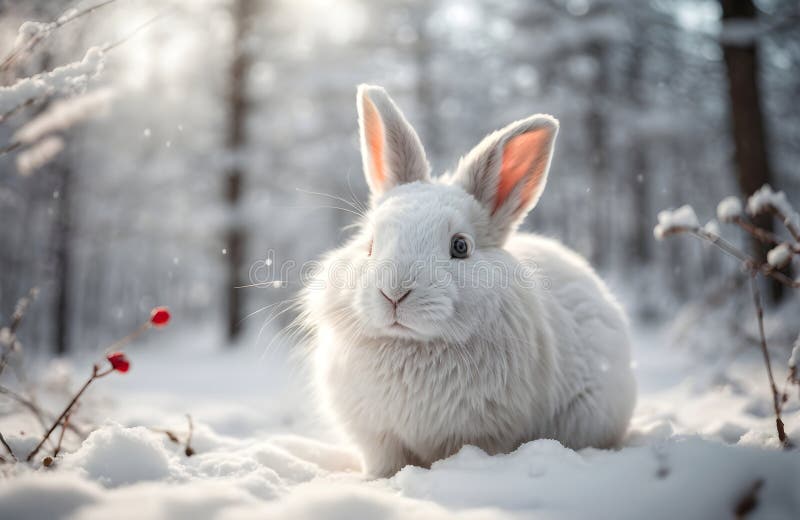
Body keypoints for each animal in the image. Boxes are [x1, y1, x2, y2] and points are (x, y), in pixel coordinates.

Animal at [302, 84, 636, 478]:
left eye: (460, 246)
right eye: (370, 244)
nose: (394, 293)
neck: (413, 345)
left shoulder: (483, 432)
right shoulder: (380, 438)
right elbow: (386, 464)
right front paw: (376, 481)